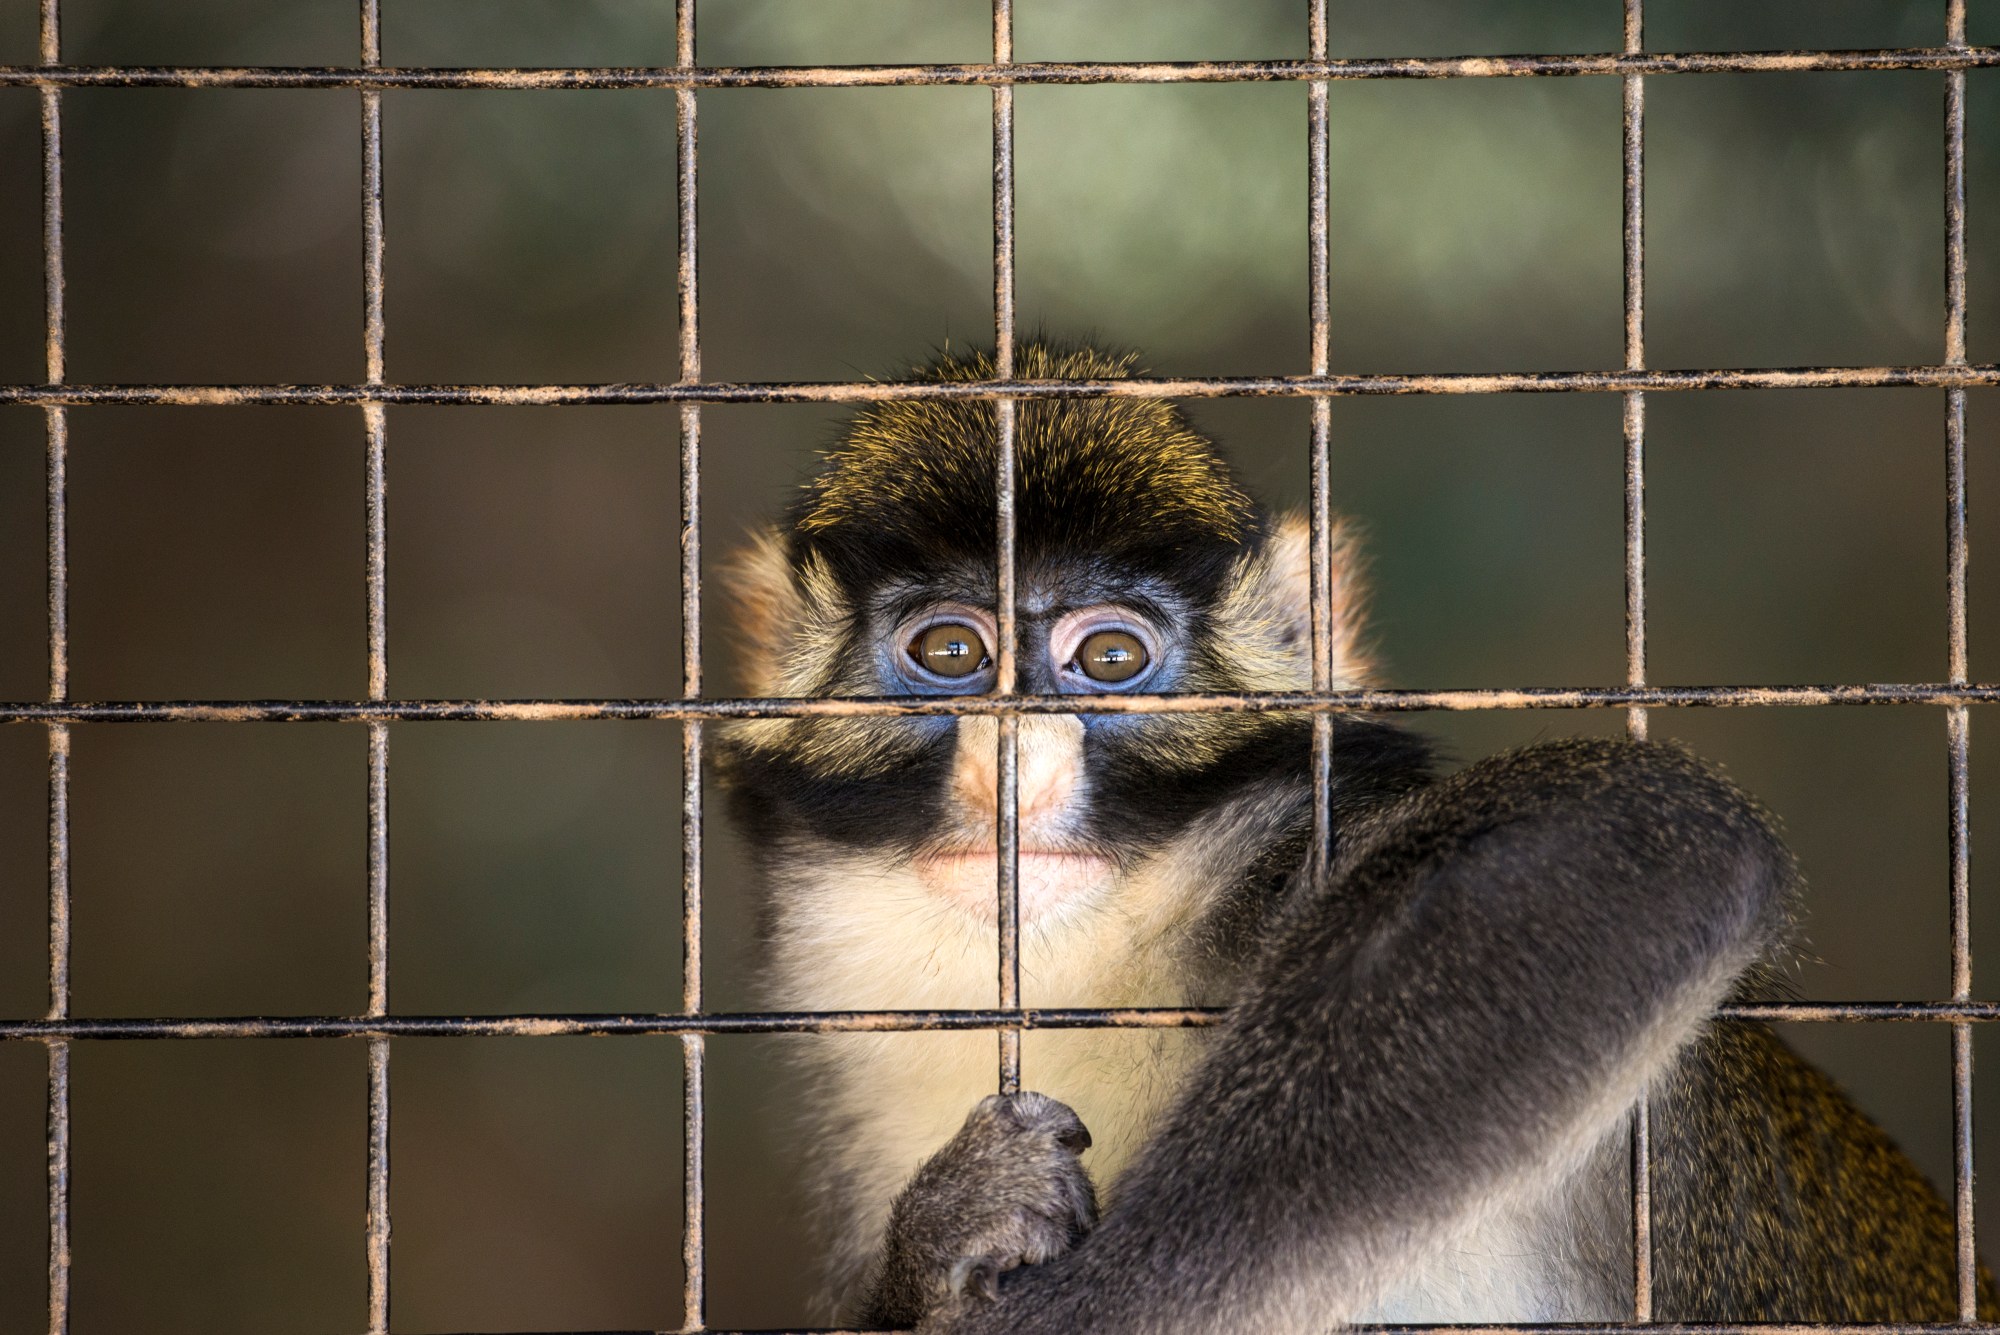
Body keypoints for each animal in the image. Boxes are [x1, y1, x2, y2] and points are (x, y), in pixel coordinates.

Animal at [717, 341, 1991, 1333]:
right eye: (948, 653)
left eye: (1110, 658)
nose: (1012, 773)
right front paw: (935, 1252)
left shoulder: (1316, 857)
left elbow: (1629, 835)